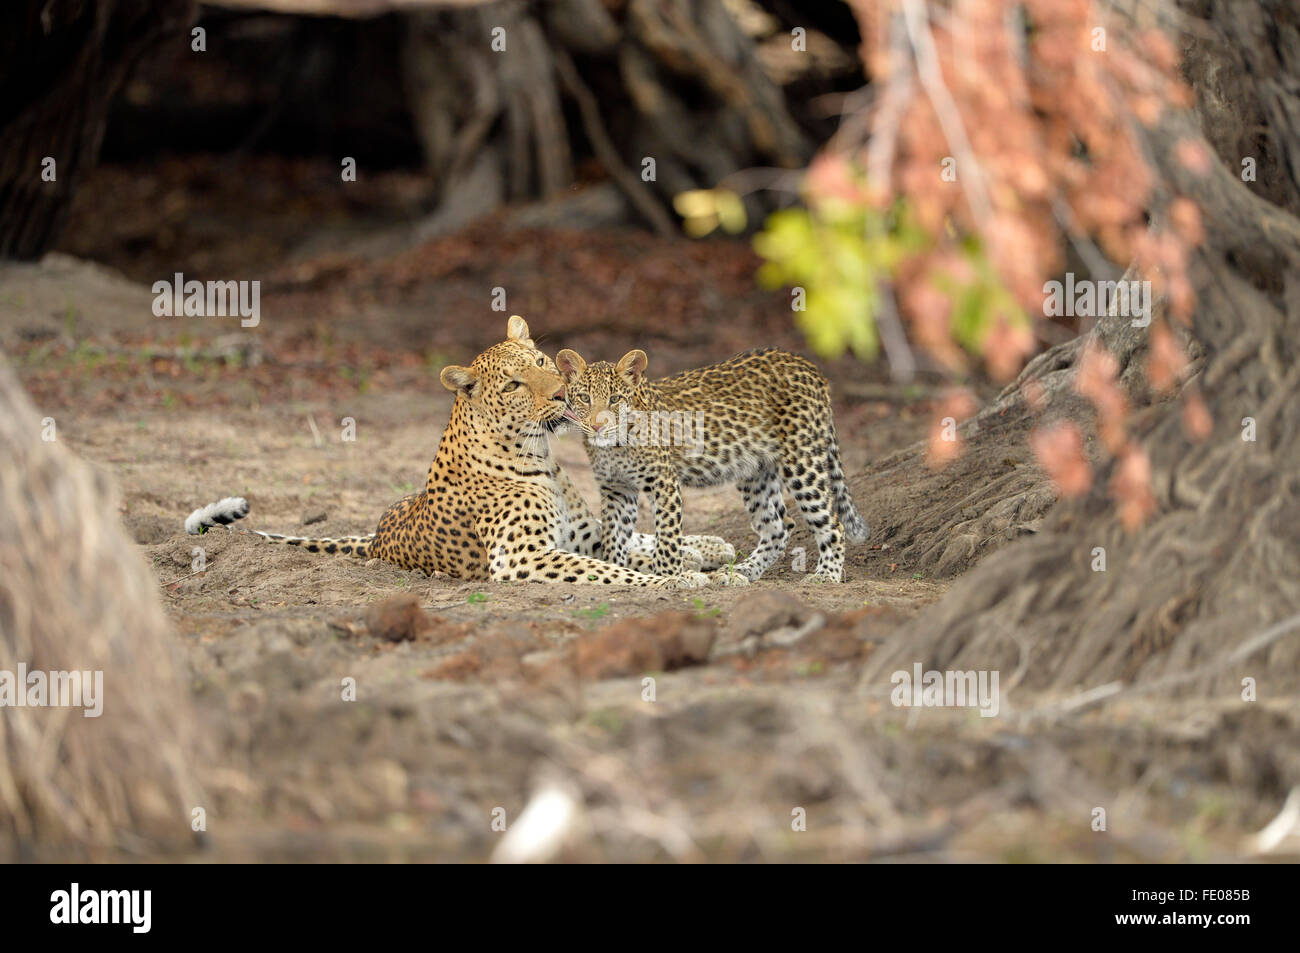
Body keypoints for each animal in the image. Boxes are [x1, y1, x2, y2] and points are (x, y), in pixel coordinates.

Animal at [186, 316, 736, 587]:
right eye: (515, 384)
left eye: (541, 361)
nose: (563, 394)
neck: (539, 454)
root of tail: (378, 536)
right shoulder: (523, 556)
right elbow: (614, 571)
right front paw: (679, 583)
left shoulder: (578, 537)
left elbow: (627, 549)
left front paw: (688, 563)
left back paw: (710, 546)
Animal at [555, 346, 870, 583]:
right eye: (584, 398)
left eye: (615, 399)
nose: (597, 426)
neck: (613, 447)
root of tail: (808, 365)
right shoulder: (617, 490)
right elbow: (614, 538)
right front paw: (618, 570)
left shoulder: (664, 483)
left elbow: (667, 537)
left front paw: (670, 577)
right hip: (755, 472)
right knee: (779, 525)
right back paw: (741, 572)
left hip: (802, 461)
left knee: (832, 522)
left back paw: (826, 574)